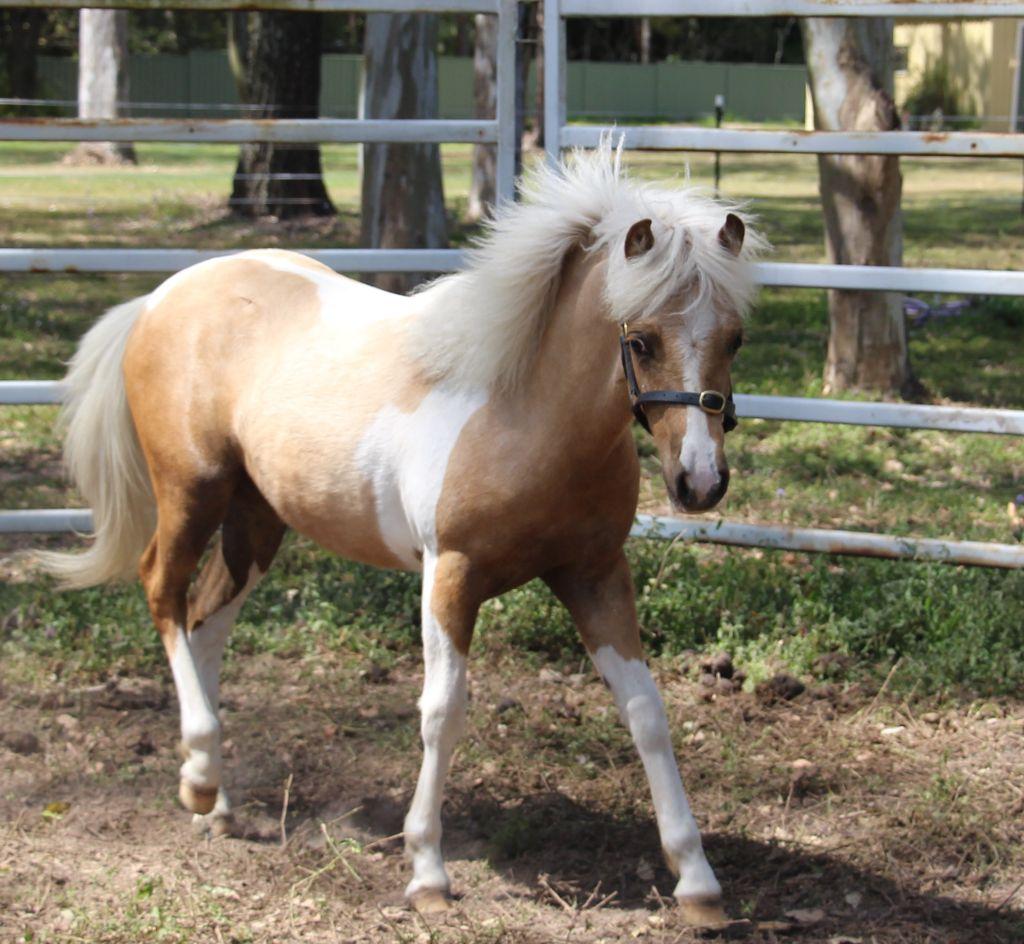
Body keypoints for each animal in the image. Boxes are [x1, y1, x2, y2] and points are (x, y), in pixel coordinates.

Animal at [40, 140, 764, 927]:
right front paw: (427, 873)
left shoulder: (594, 573)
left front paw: (697, 881)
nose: (700, 482)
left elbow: (646, 712)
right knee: (163, 595)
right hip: (191, 491)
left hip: (255, 520)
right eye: (642, 339)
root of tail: (158, 299)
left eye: (734, 338)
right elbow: (442, 713)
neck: (521, 411)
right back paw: (201, 778)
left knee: (206, 621)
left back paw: (215, 798)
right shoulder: (451, 575)